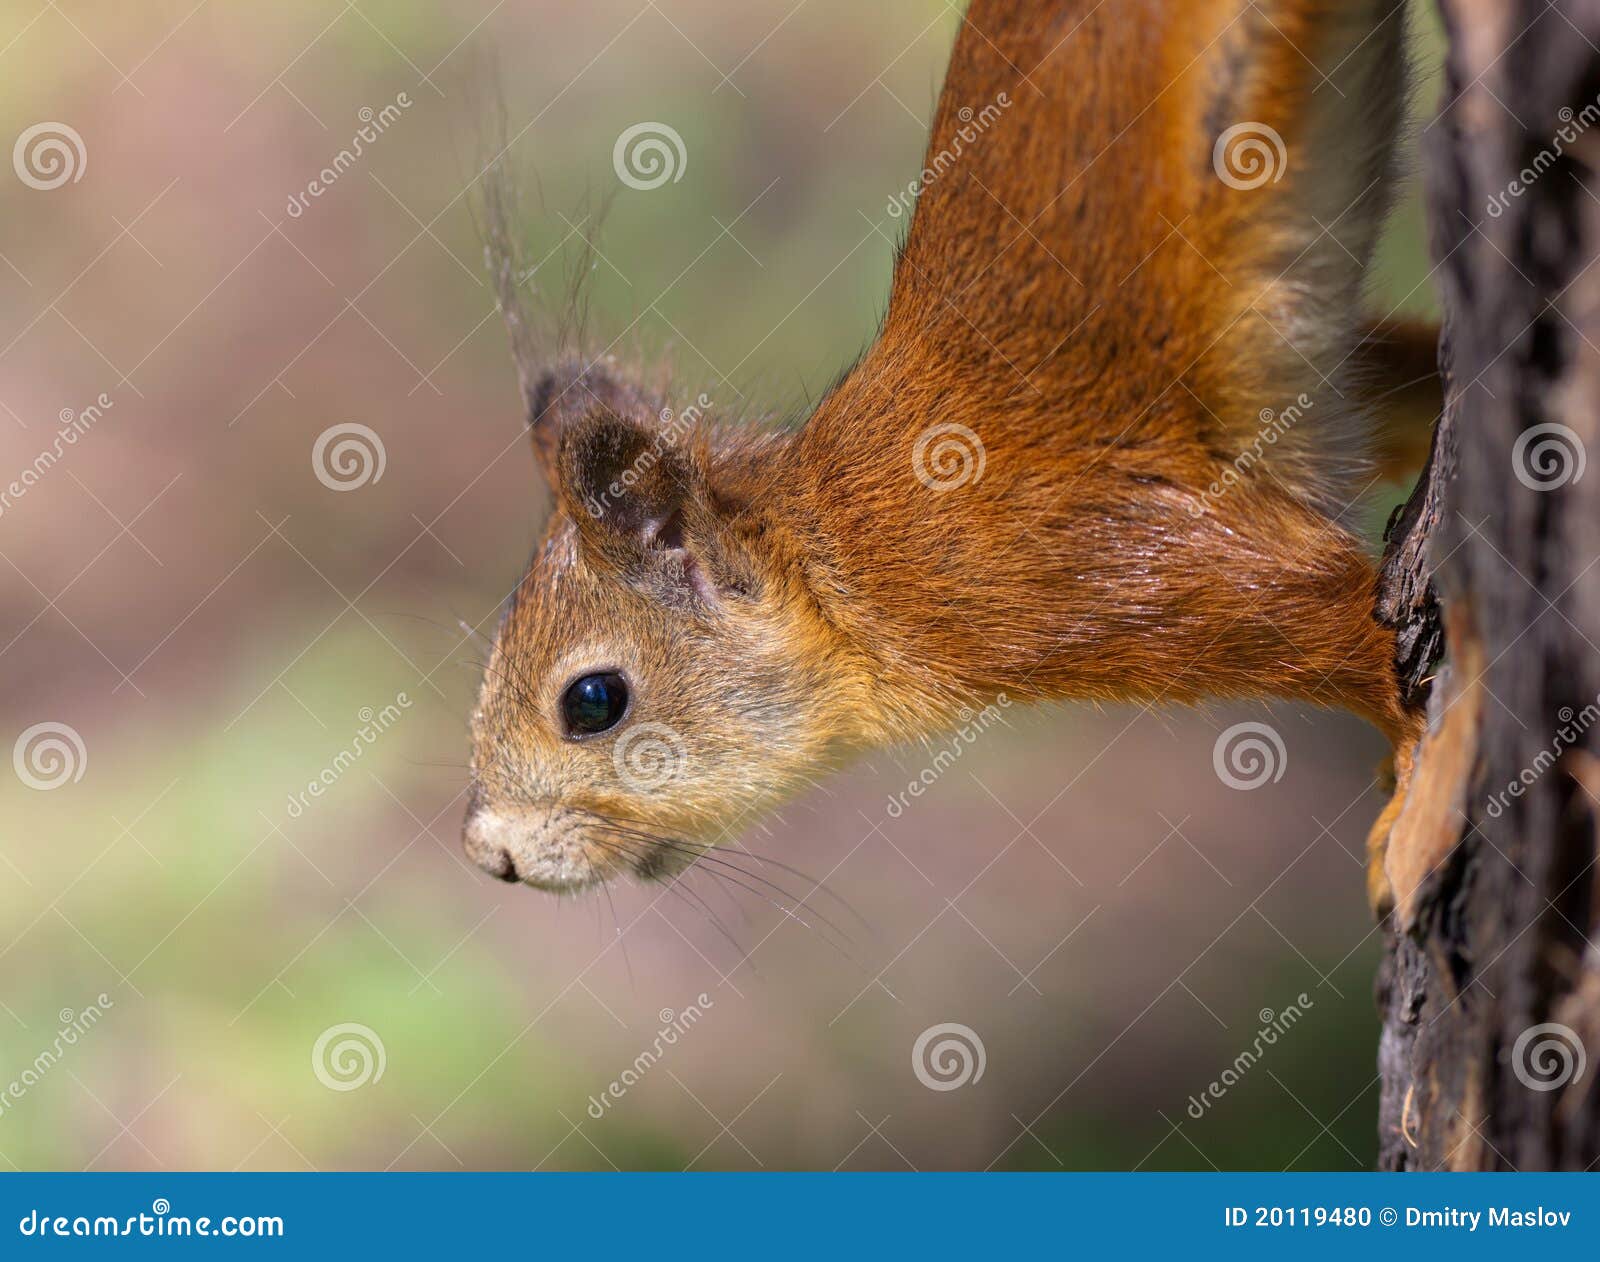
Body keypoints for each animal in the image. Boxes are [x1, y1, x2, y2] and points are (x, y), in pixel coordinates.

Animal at [463, 0, 1436, 917]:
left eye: (593, 702)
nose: (489, 857)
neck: (834, 572)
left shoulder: (1080, 563)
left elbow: (1341, 622)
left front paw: (1420, 802)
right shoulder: (1327, 395)